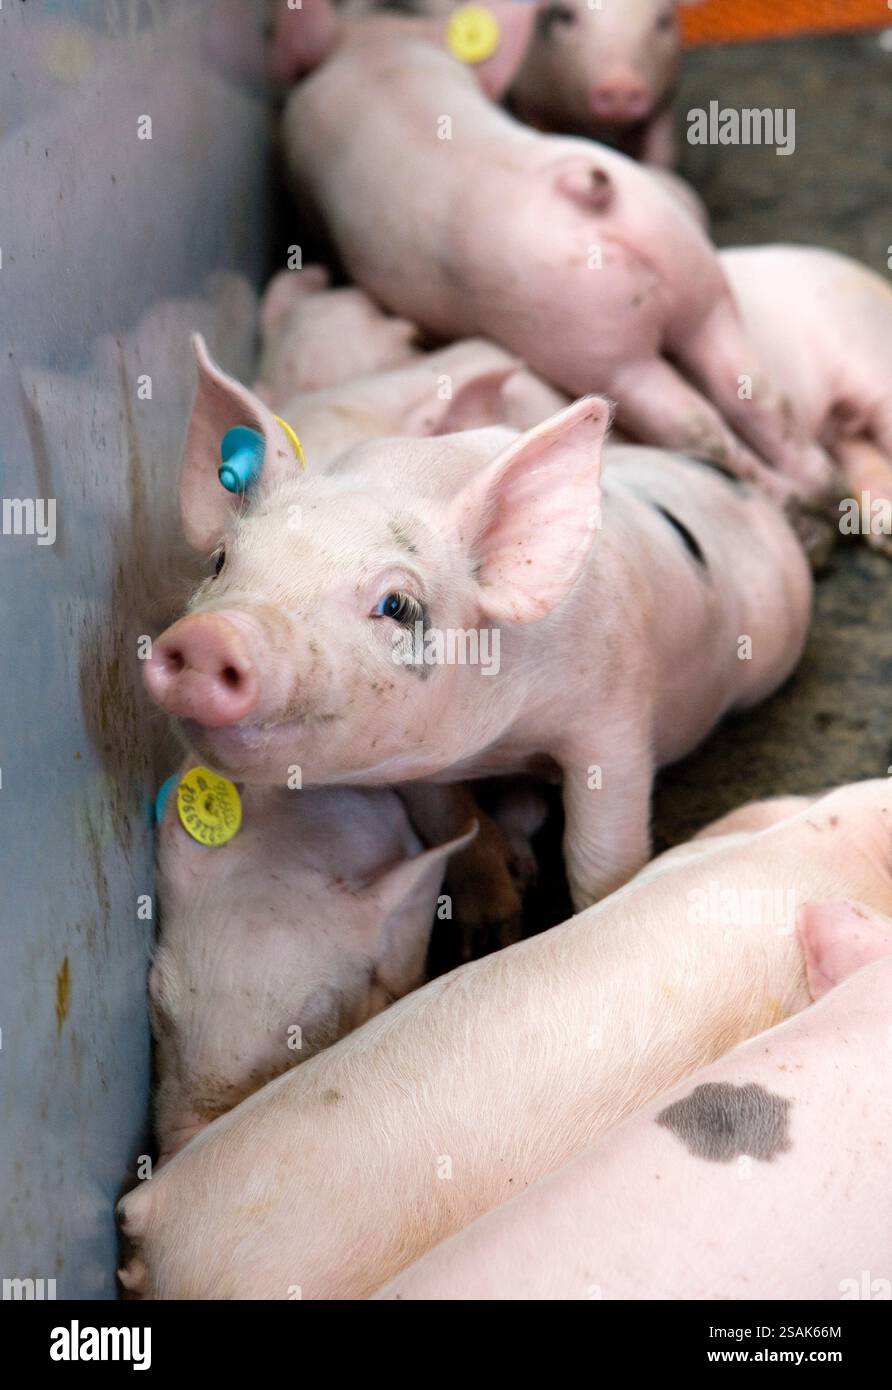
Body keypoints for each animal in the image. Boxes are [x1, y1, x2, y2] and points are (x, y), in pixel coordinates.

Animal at [142, 338, 811, 911]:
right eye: (220, 560)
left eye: (396, 605)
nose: (211, 635)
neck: (502, 741)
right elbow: (453, 822)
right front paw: (490, 922)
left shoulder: (616, 707)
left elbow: (601, 850)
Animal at [273, 1, 834, 504]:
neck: (379, 57)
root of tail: (588, 193)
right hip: (696, 283)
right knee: (757, 394)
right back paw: (822, 492)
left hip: (593, 340)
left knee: (696, 426)